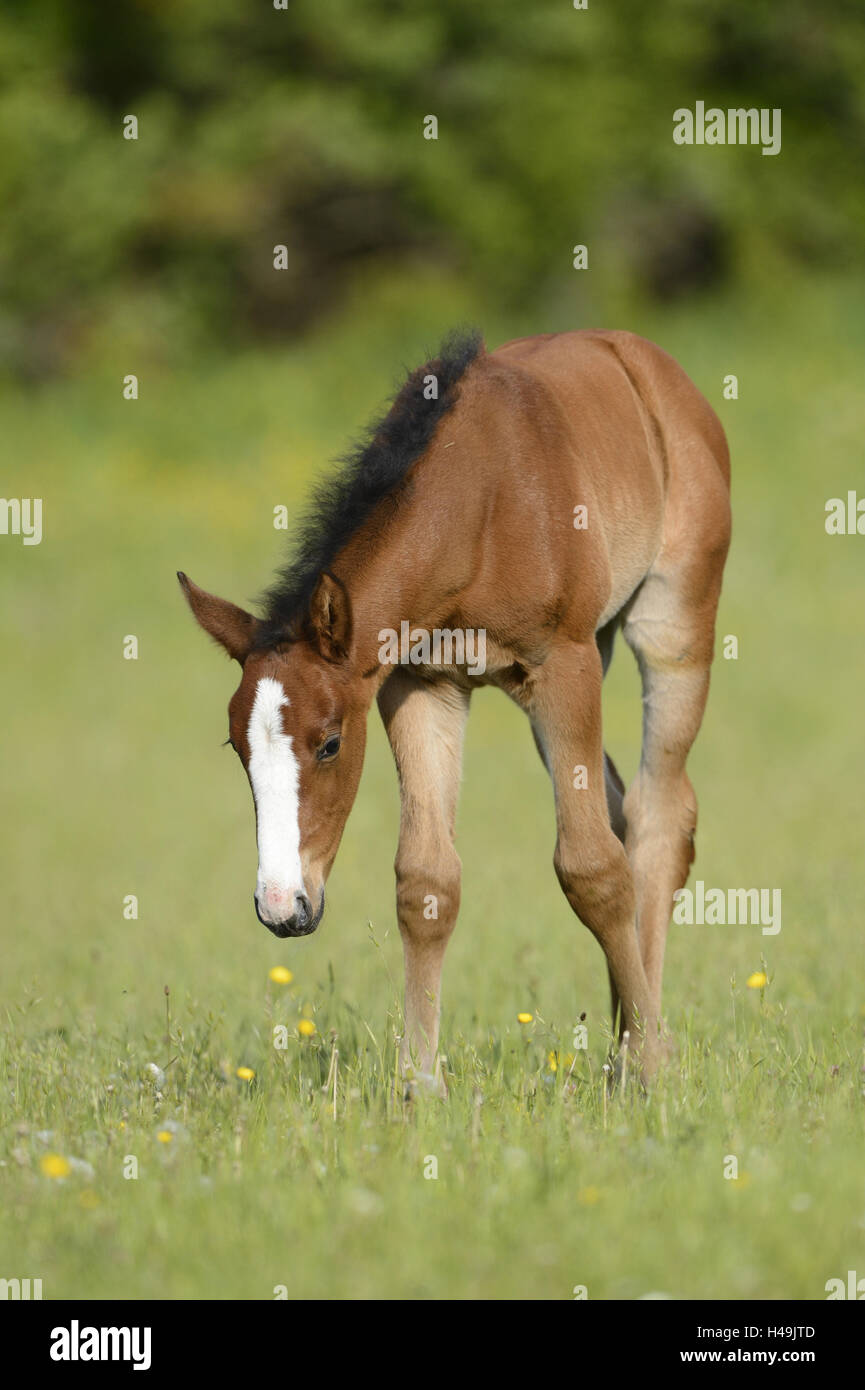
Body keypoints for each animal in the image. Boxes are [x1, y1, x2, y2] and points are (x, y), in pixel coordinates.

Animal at [179, 328, 731, 1088]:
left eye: (329, 743)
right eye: (237, 747)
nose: (283, 907)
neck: (478, 508)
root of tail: (651, 362)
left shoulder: (564, 663)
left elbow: (592, 869)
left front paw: (649, 1069)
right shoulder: (420, 684)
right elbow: (426, 881)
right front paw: (419, 1084)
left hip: (672, 621)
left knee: (658, 813)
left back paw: (642, 1048)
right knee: (621, 806)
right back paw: (623, 1033)